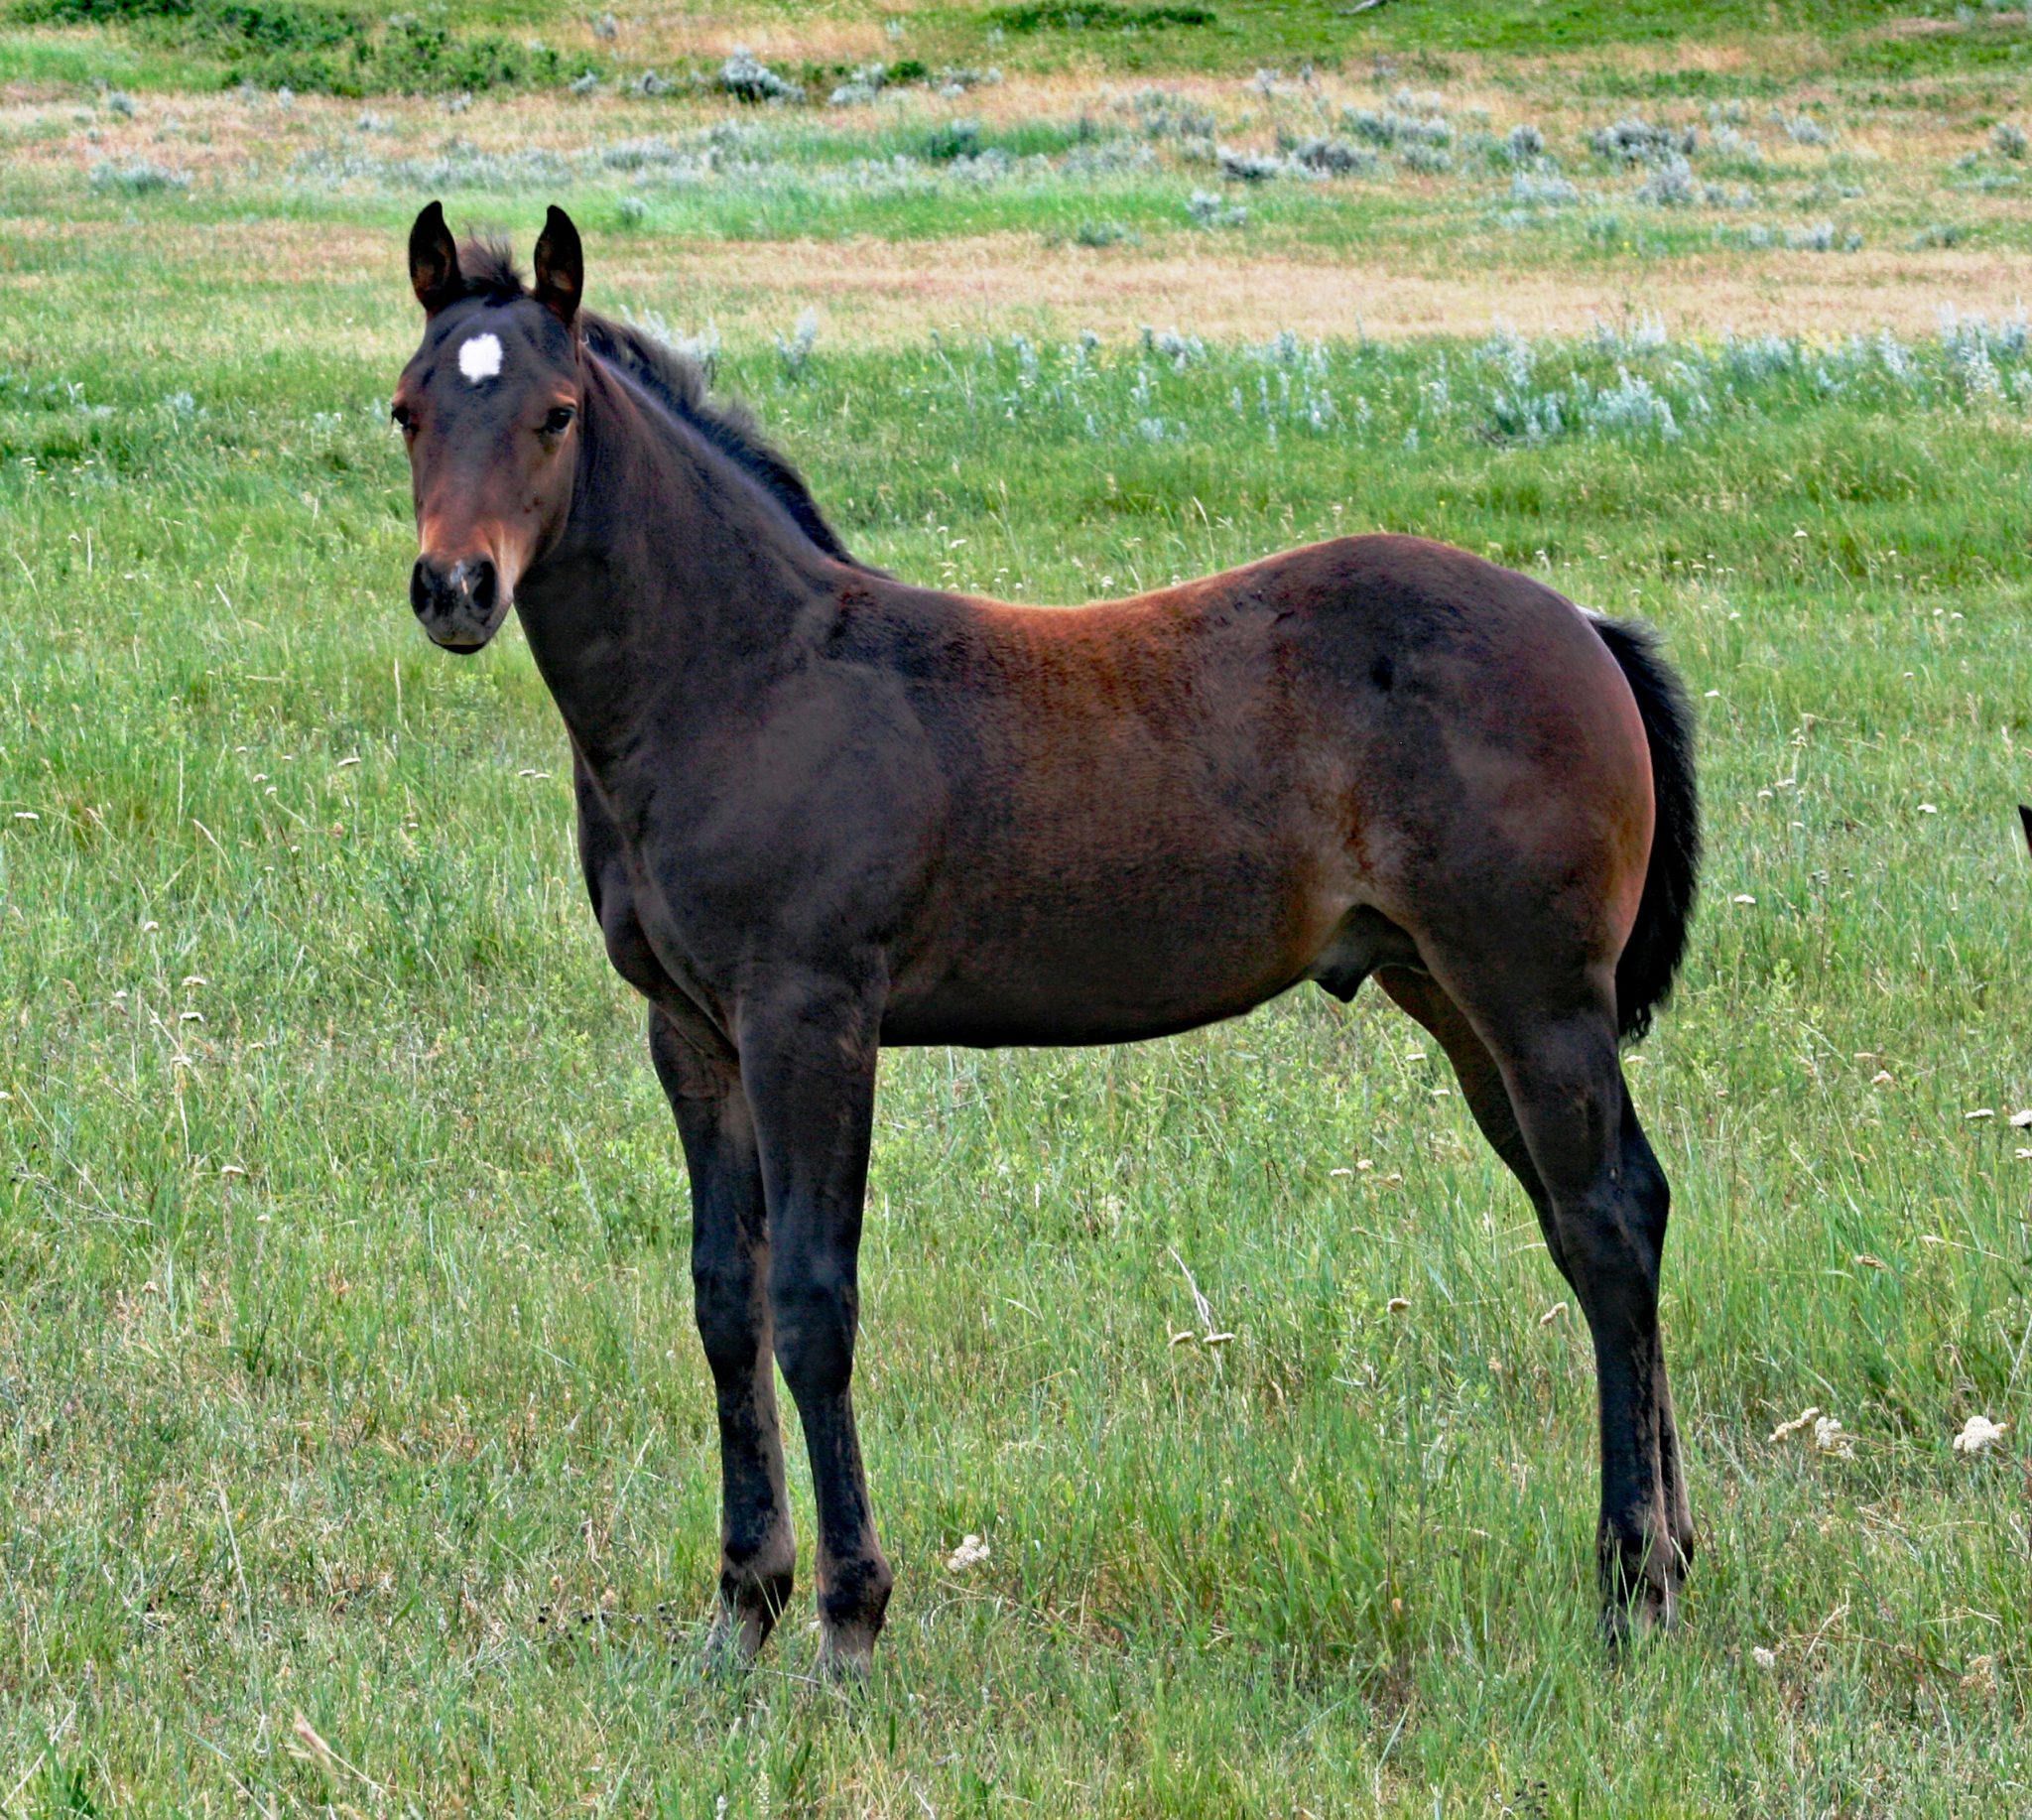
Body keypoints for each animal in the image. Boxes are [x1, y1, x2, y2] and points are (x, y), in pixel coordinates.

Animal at [391, 202, 1702, 1671]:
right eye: (407, 409)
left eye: (555, 414)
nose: (454, 587)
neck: (744, 678)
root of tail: (1580, 625)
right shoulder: (689, 1031)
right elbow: (725, 1298)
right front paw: (741, 1612)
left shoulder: (811, 1016)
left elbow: (813, 1299)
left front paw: (849, 1620)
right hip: (1456, 997)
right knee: (1597, 1218)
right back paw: (1668, 1557)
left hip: (1533, 994)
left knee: (1610, 1219)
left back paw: (1630, 1582)